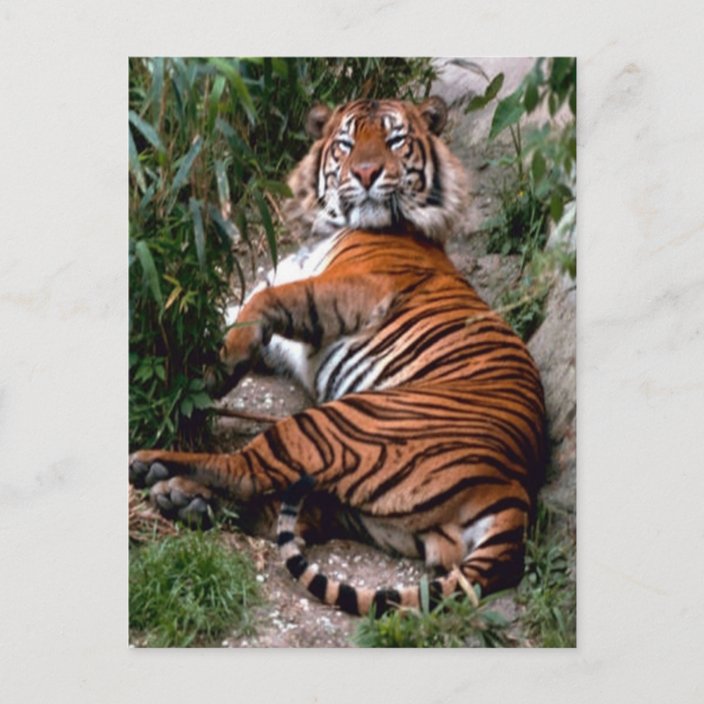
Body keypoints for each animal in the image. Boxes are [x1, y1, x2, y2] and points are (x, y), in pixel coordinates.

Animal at [129, 96, 546, 617]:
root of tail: (513, 490)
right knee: (286, 509)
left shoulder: (359, 287)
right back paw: (185, 499)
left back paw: (156, 467)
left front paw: (214, 370)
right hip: (385, 518)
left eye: (394, 140)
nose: (366, 174)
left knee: (247, 471)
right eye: (346, 144)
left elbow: (262, 303)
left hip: (335, 424)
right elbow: (234, 310)